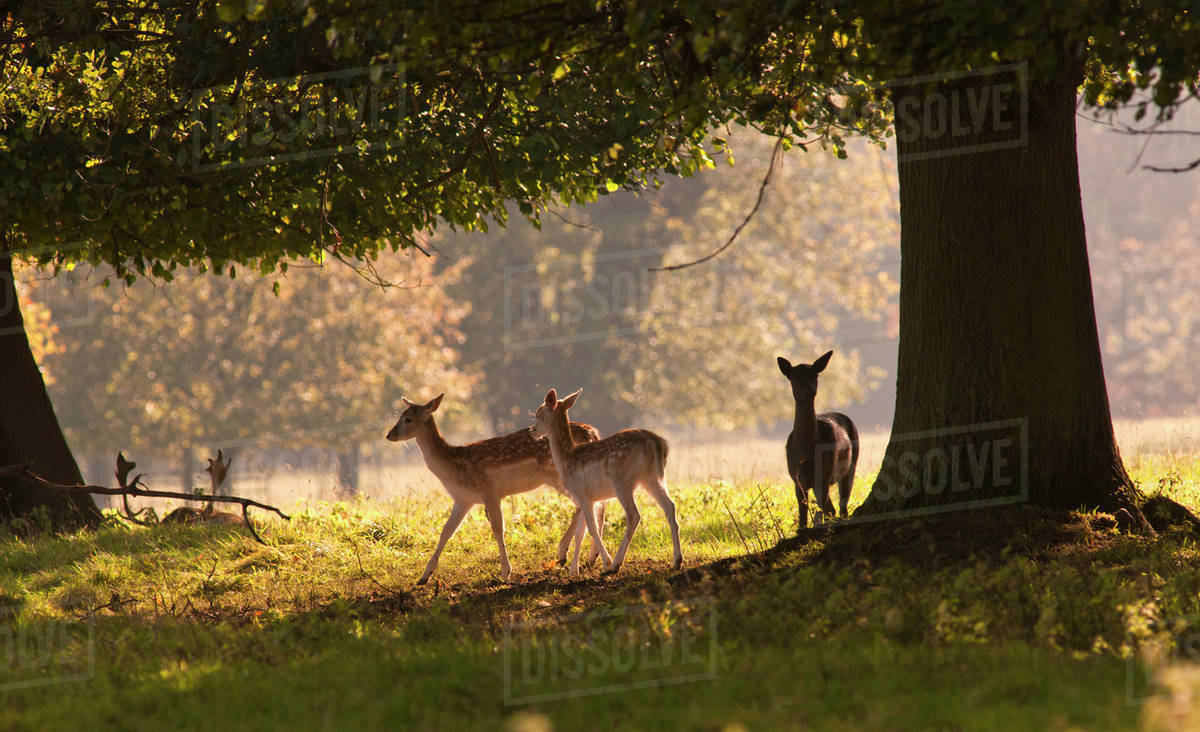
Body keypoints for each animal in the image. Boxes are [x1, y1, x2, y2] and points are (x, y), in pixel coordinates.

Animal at [386, 393, 607, 585]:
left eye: (407, 419)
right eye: (400, 416)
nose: (389, 435)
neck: (453, 466)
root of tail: (592, 432)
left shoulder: (489, 491)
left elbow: (498, 530)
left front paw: (506, 572)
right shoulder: (463, 500)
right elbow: (446, 532)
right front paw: (424, 576)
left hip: (559, 475)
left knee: (586, 505)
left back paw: (565, 553)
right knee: (596, 503)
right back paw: (590, 557)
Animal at [530, 388, 682, 577]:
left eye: (539, 413)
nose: (532, 430)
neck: (566, 459)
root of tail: (657, 443)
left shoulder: (581, 493)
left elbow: (592, 529)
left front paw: (605, 563)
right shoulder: (589, 498)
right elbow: (580, 533)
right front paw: (574, 570)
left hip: (621, 480)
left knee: (634, 515)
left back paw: (616, 563)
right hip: (652, 478)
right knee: (670, 506)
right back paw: (677, 561)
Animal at [777, 350, 860, 530]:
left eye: (815, 375)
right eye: (793, 377)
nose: (807, 389)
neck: (807, 453)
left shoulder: (824, 474)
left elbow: (828, 509)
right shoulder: (796, 477)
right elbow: (803, 513)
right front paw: (801, 530)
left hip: (851, 463)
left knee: (841, 506)